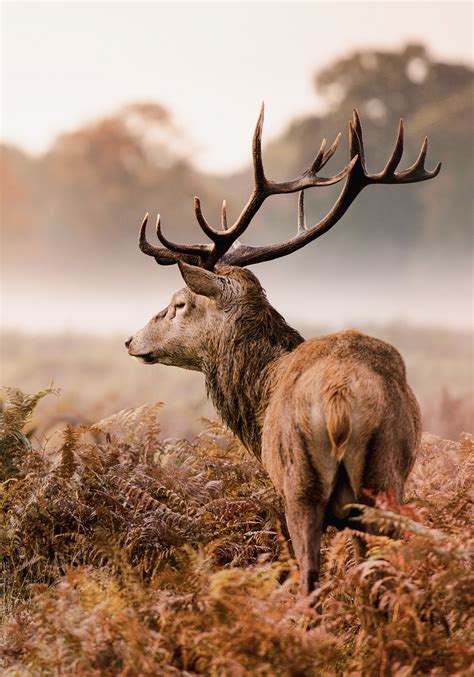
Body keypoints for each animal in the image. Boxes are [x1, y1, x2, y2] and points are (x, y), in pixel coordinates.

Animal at [126, 106, 441, 594]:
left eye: (179, 303)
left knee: (309, 574)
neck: (261, 389)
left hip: (301, 485)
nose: (131, 340)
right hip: (387, 475)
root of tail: (339, 401)